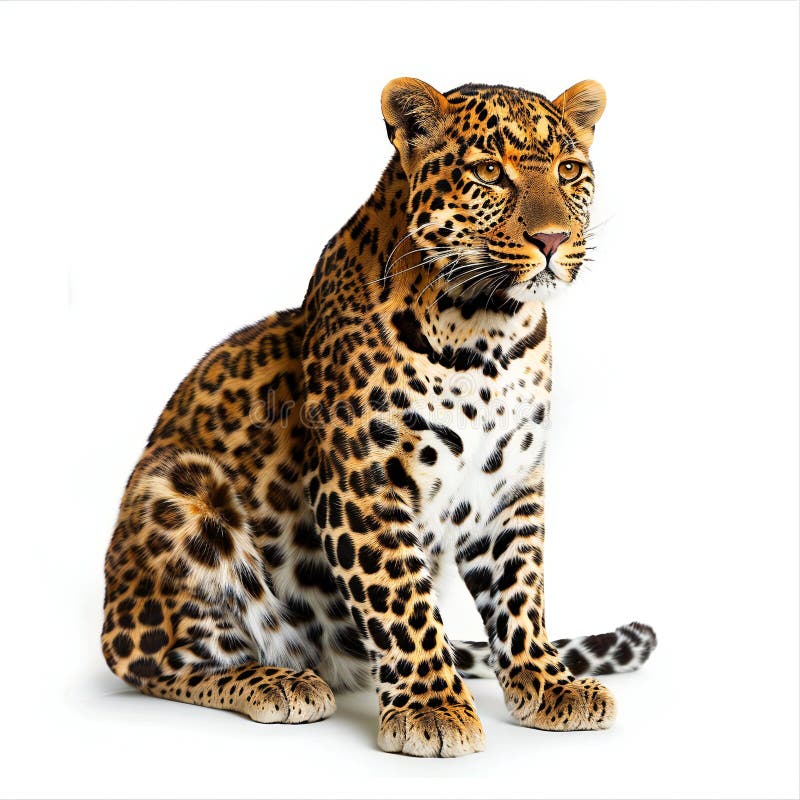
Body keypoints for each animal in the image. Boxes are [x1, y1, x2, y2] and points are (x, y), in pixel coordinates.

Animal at [101, 77, 657, 757]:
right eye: (490, 173)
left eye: (569, 170)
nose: (553, 241)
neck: (490, 333)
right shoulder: (364, 480)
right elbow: (403, 600)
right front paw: (432, 708)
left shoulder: (510, 484)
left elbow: (521, 593)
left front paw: (549, 684)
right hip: (177, 490)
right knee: (156, 662)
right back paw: (275, 681)